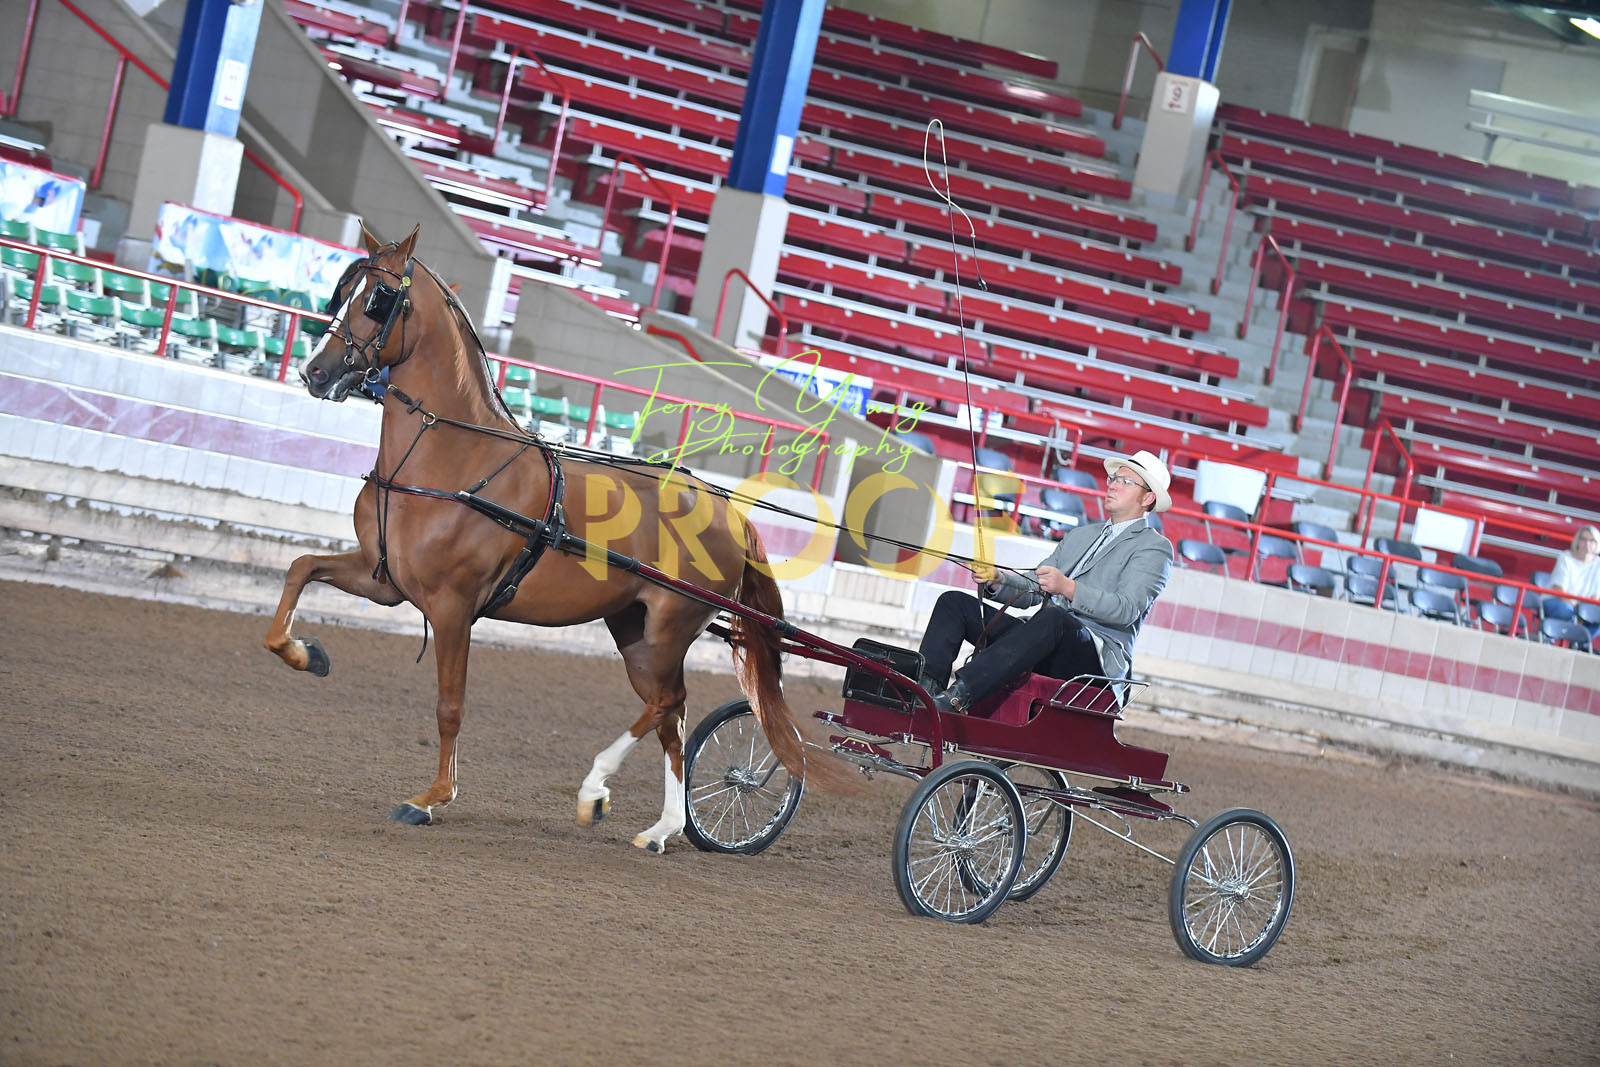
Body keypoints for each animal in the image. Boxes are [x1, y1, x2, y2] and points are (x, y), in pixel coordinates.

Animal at [263, 223, 828, 851]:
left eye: (378, 301)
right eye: (344, 292)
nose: (314, 373)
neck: (452, 457)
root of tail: (725, 507)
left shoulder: (453, 607)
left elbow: (449, 705)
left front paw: (431, 797)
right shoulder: (385, 579)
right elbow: (300, 569)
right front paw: (305, 653)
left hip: (668, 628)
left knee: (666, 704)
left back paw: (595, 790)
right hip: (633, 631)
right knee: (672, 716)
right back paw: (661, 828)